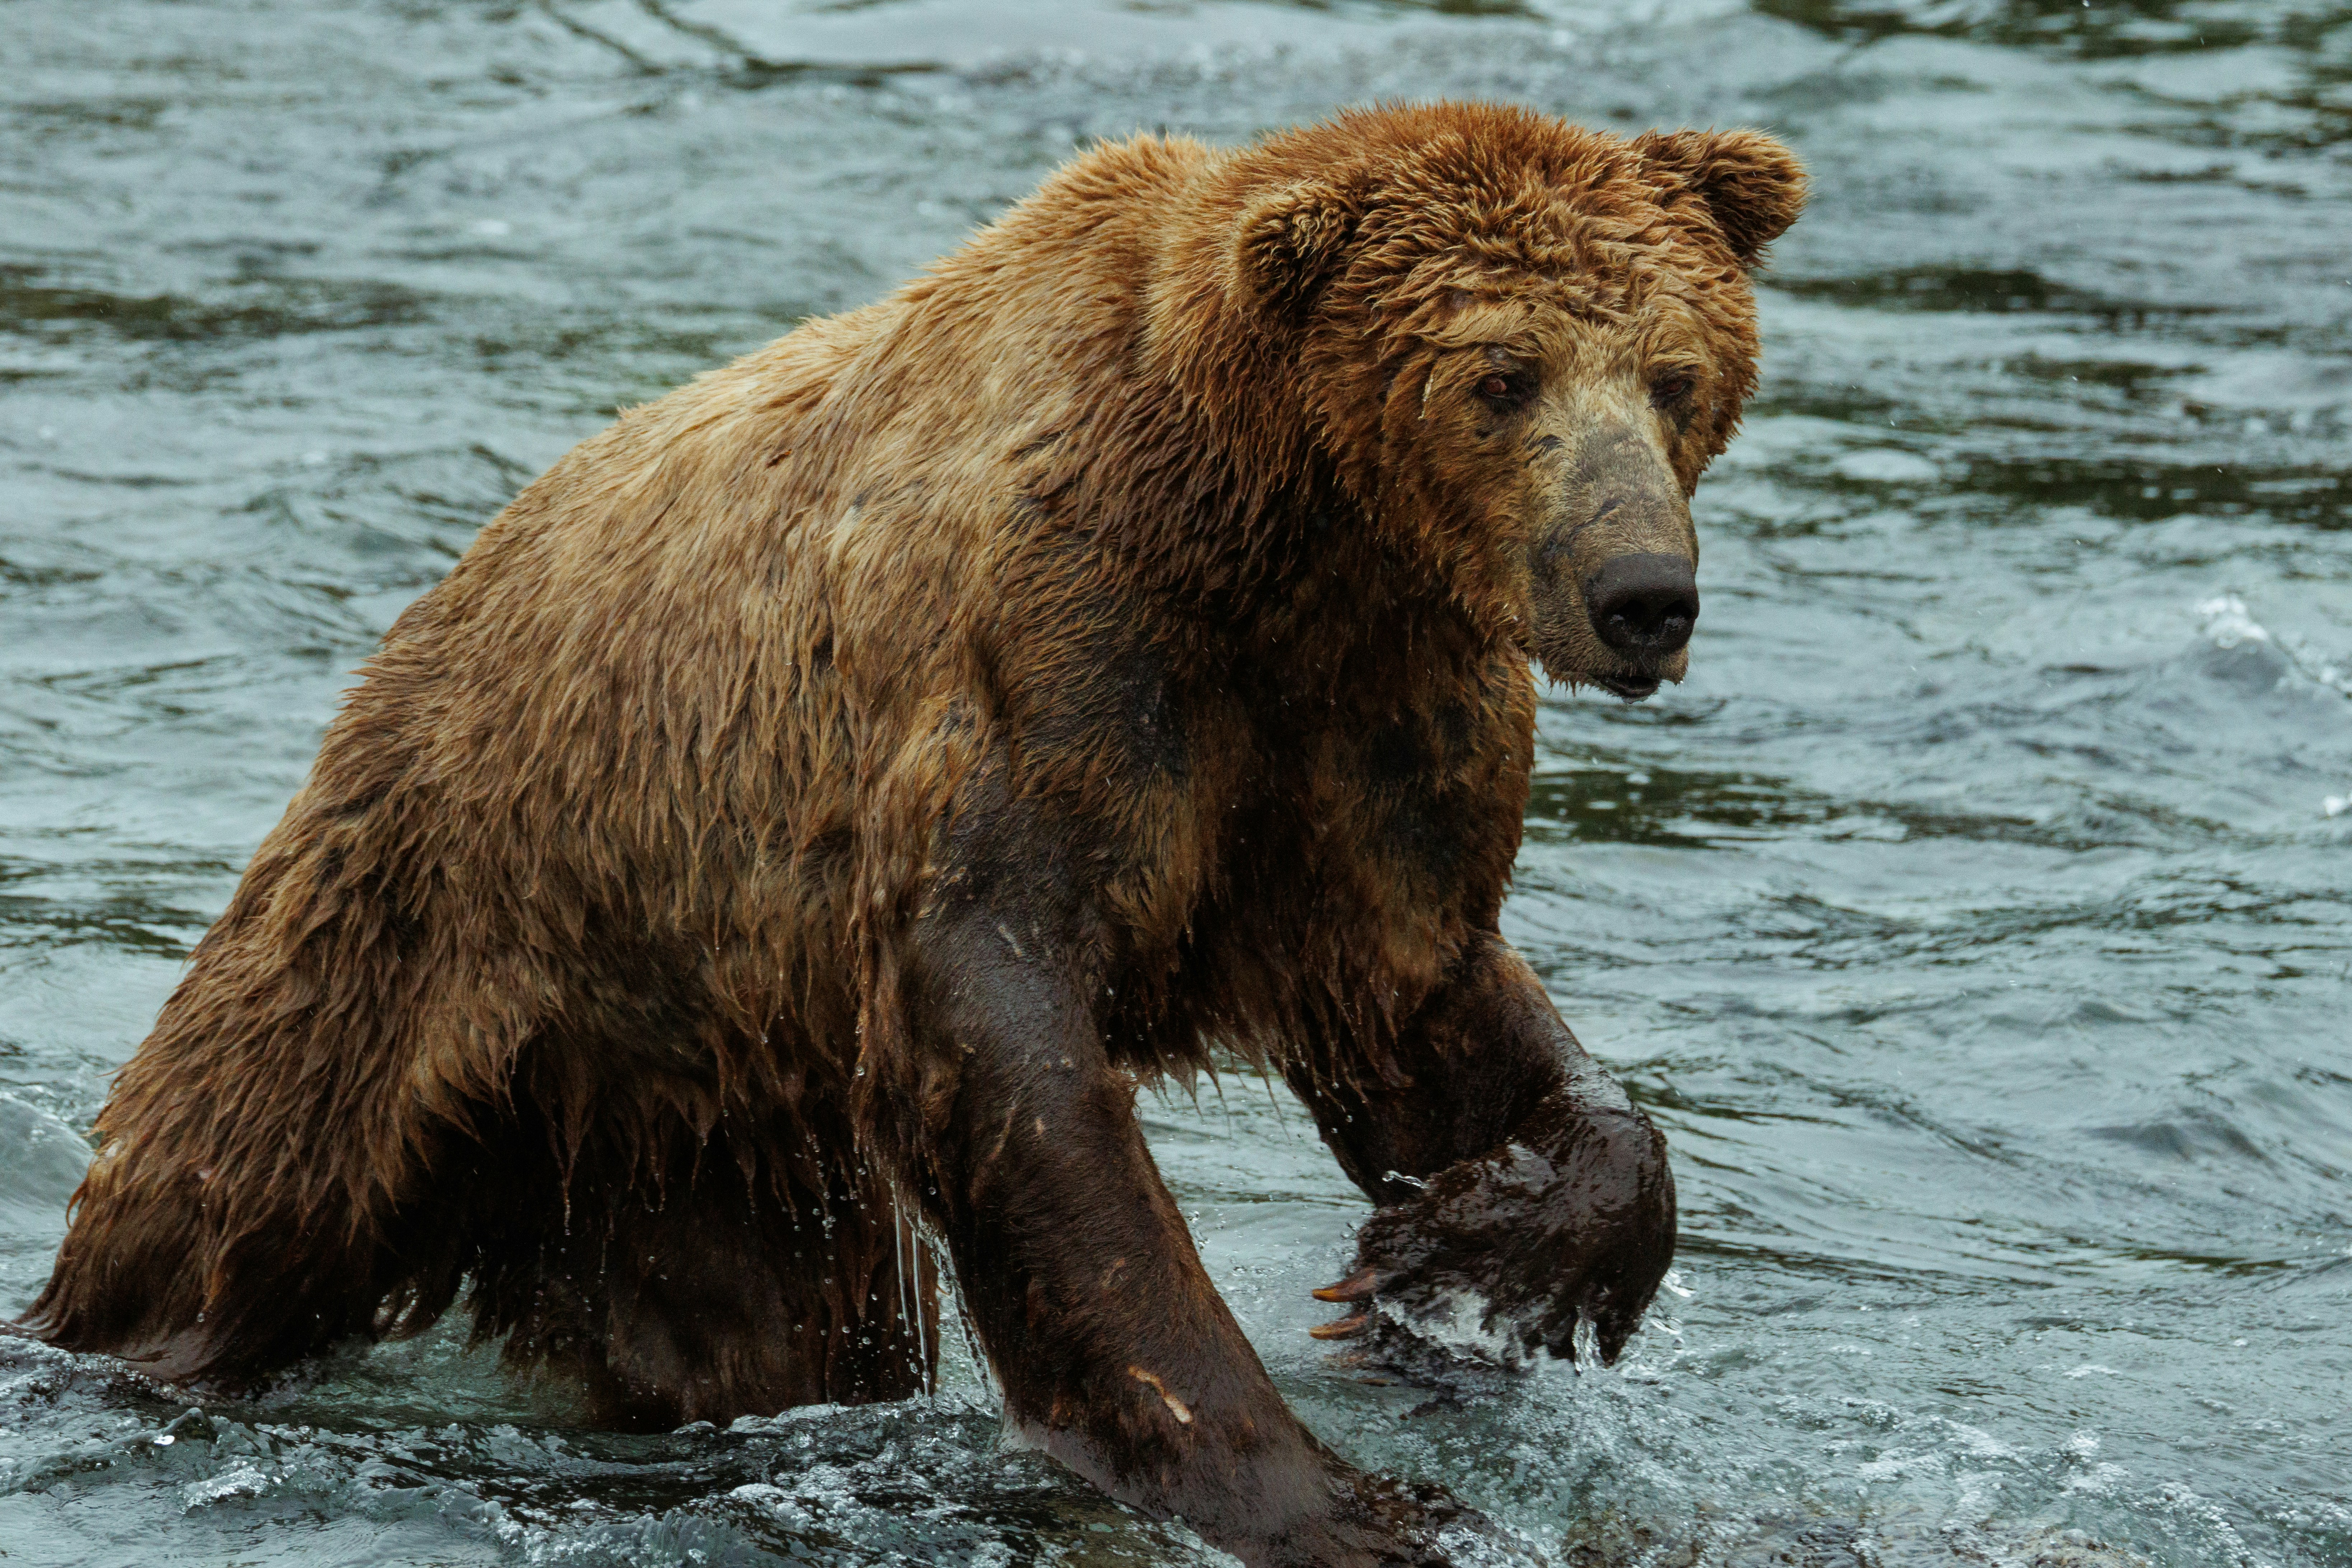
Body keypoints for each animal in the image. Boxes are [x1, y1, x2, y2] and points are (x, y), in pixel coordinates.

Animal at [20, 102, 1803, 1565]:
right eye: (1499, 375)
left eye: (1676, 374)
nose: (1643, 594)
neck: (1277, 542)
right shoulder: (1054, 658)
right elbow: (1008, 1044)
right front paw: (1324, 1491)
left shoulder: (1366, 736)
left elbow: (1424, 1007)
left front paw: (1472, 1254)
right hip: (420, 932)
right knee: (223, 1199)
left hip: (704, 1139)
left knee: (766, 1331)